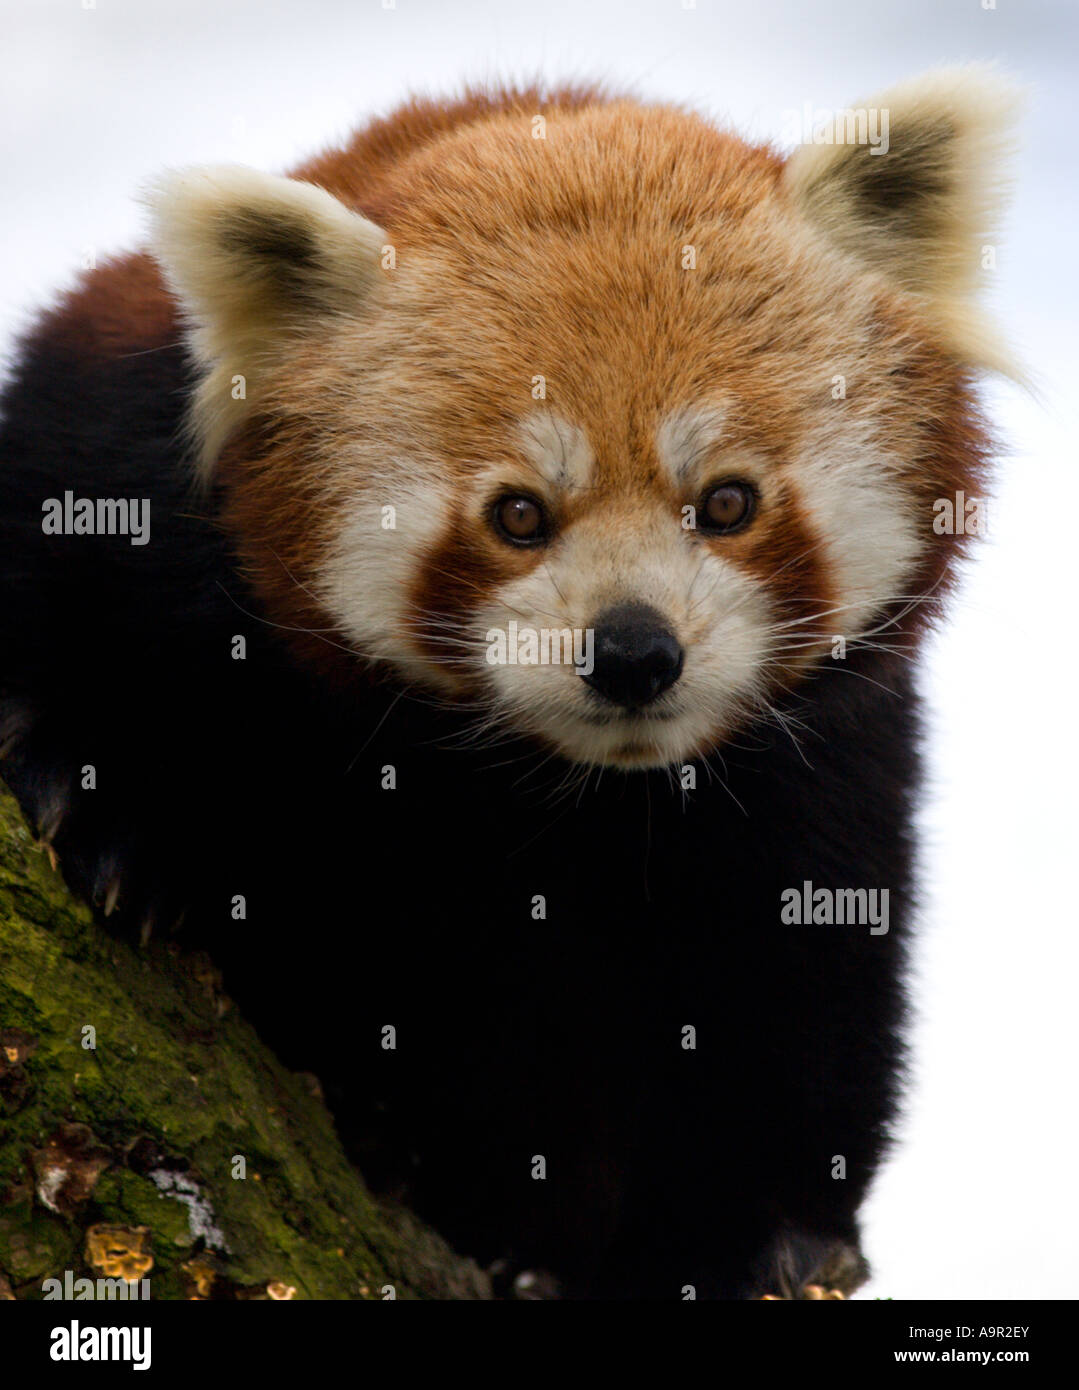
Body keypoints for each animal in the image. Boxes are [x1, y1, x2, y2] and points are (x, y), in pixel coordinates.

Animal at [0, 70, 1017, 1299]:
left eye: (726, 501)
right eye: (518, 514)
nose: (632, 653)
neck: (549, 792)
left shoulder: (828, 763)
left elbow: (797, 987)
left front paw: (747, 1238)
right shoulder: (106, 442)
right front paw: (104, 798)